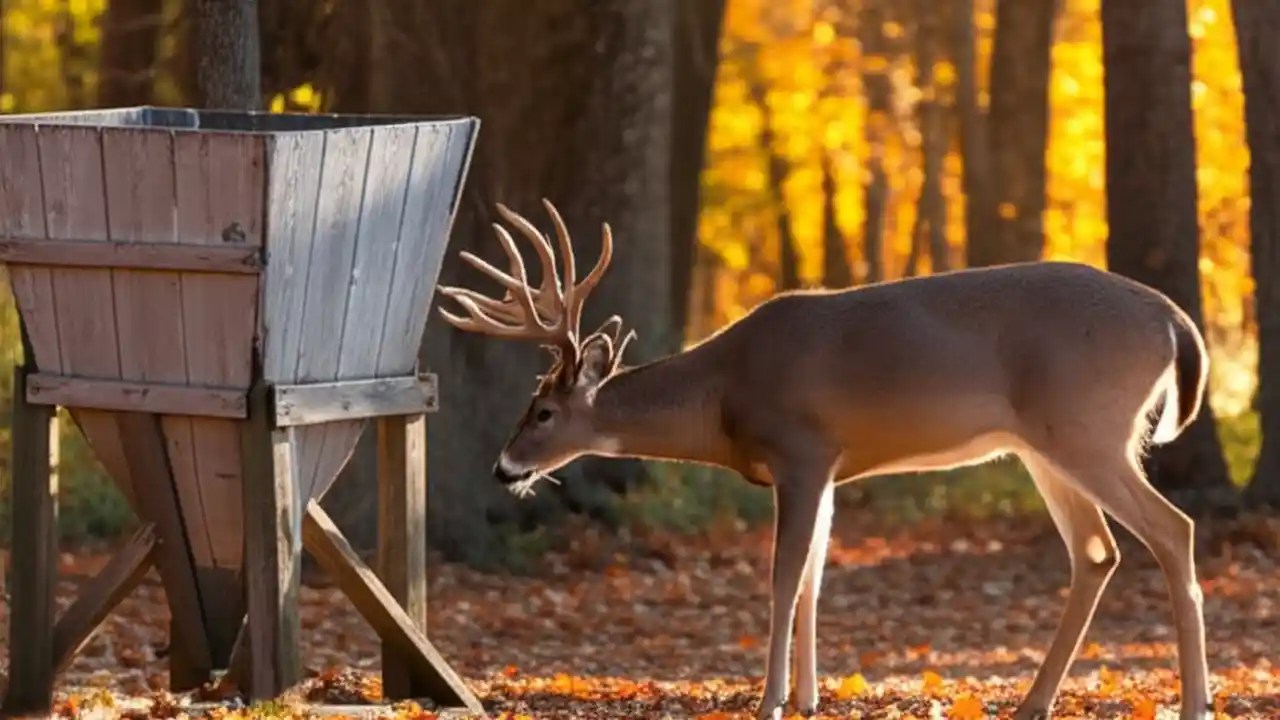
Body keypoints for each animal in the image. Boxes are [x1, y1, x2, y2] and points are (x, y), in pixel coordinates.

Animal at [436, 200, 1214, 720]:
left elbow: (785, 578)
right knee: (1097, 551)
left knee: (1173, 530)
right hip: (1046, 446)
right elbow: (814, 576)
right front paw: (809, 697)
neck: (724, 395)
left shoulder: (802, 449)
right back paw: (1034, 702)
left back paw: (1195, 702)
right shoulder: (833, 467)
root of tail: (1174, 321)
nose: (504, 467)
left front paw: (771, 700)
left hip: (1088, 428)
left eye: (541, 411)